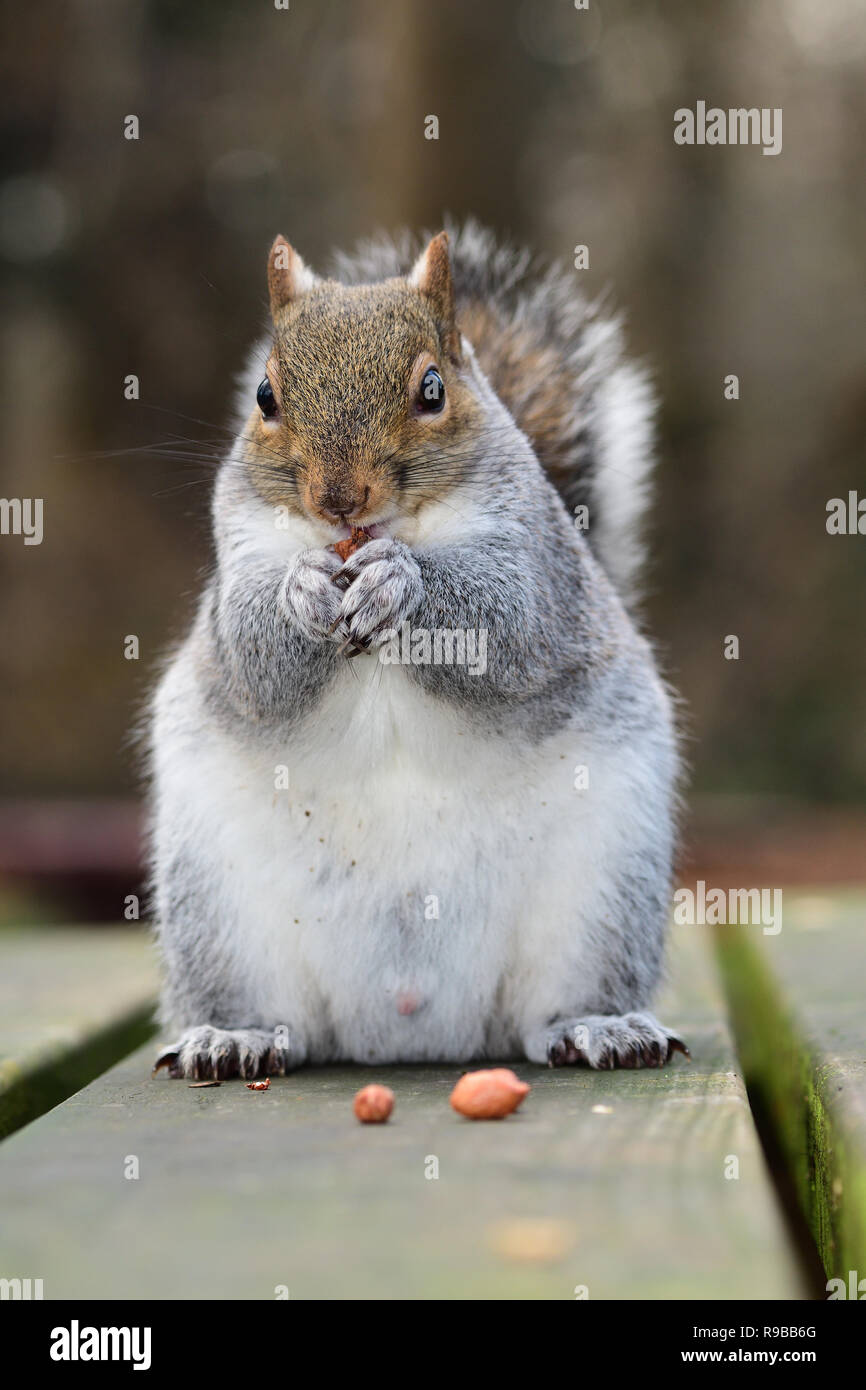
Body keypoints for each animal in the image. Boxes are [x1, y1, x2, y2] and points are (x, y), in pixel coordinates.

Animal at [151, 220, 687, 1079]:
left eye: (432, 390)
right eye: (266, 396)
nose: (338, 498)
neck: (381, 530)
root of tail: (408, 1029)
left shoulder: (537, 565)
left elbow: (504, 625)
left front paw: (400, 584)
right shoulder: (236, 552)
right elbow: (252, 656)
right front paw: (301, 592)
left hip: (604, 887)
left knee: (557, 1003)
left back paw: (598, 1027)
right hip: (217, 904)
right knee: (266, 1010)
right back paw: (235, 1037)